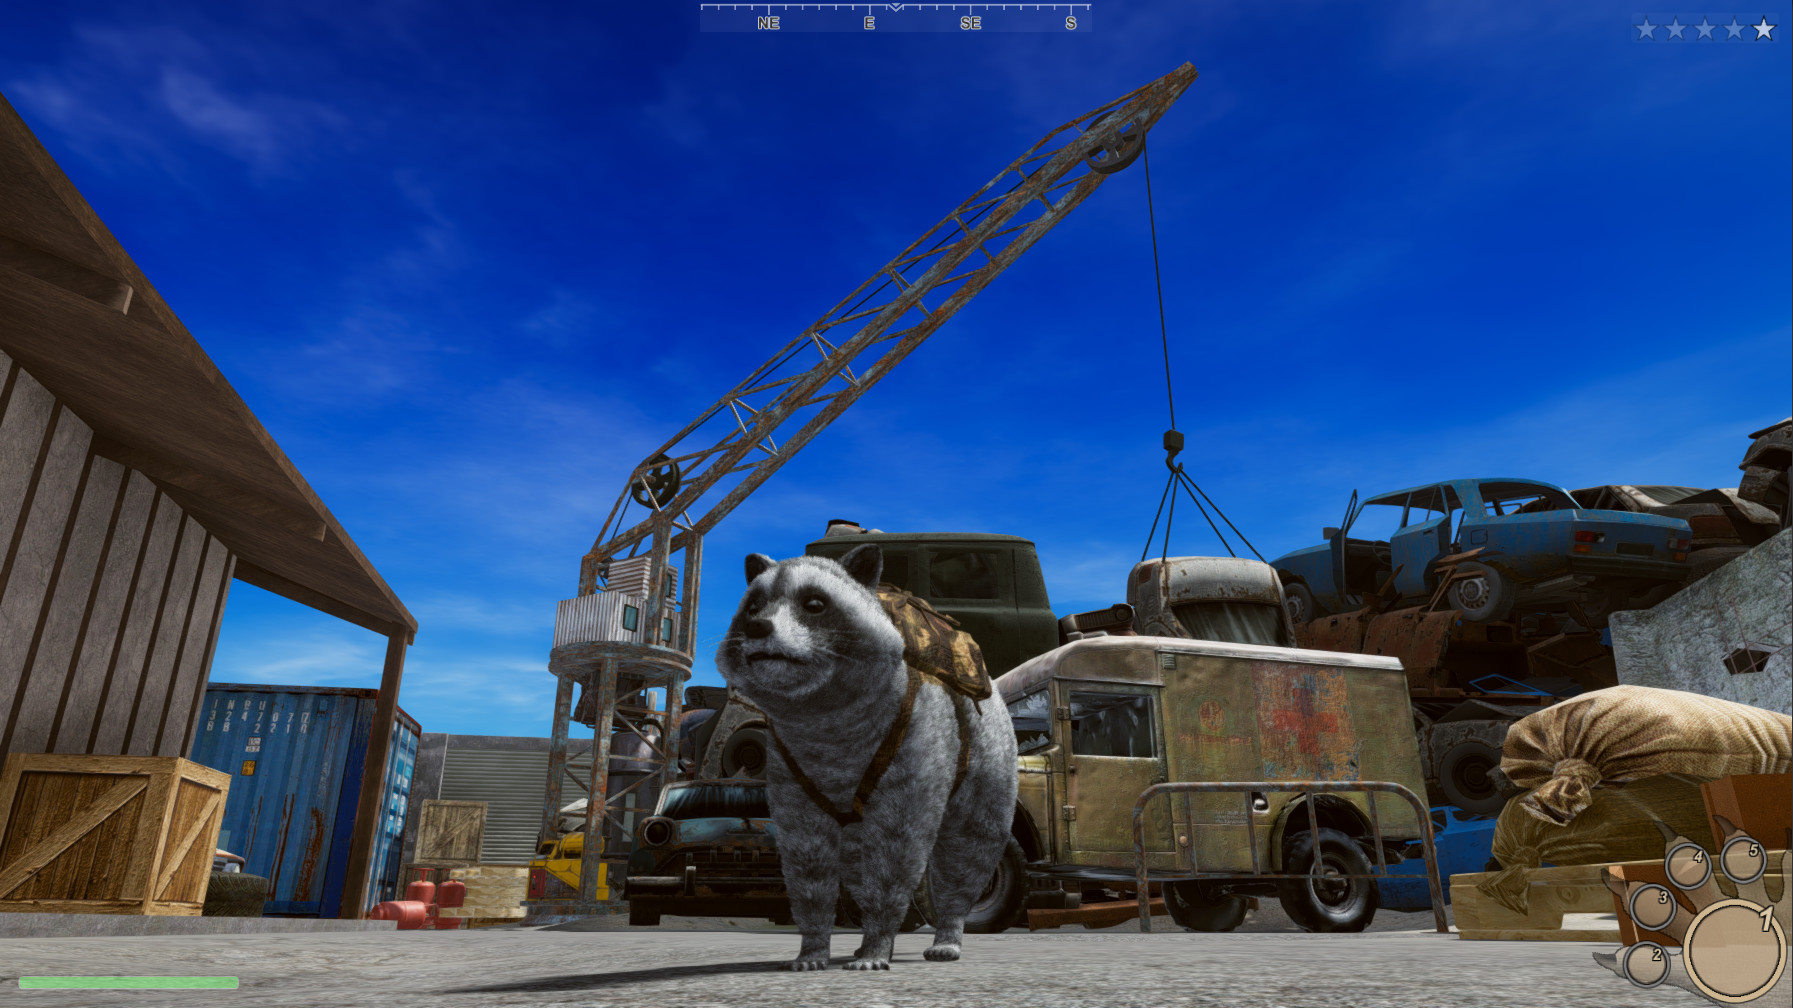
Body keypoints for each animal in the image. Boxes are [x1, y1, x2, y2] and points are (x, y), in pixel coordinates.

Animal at [715, 544, 1019, 971]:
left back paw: (947, 932)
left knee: (967, 850)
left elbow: (896, 853)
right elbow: (807, 859)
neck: (826, 716)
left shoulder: (914, 746)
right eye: (753, 606)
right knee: (855, 865)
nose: (757, 627)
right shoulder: (790, 766)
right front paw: (813, 947)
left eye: (814, 603)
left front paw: (878, 941)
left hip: (989, 760)